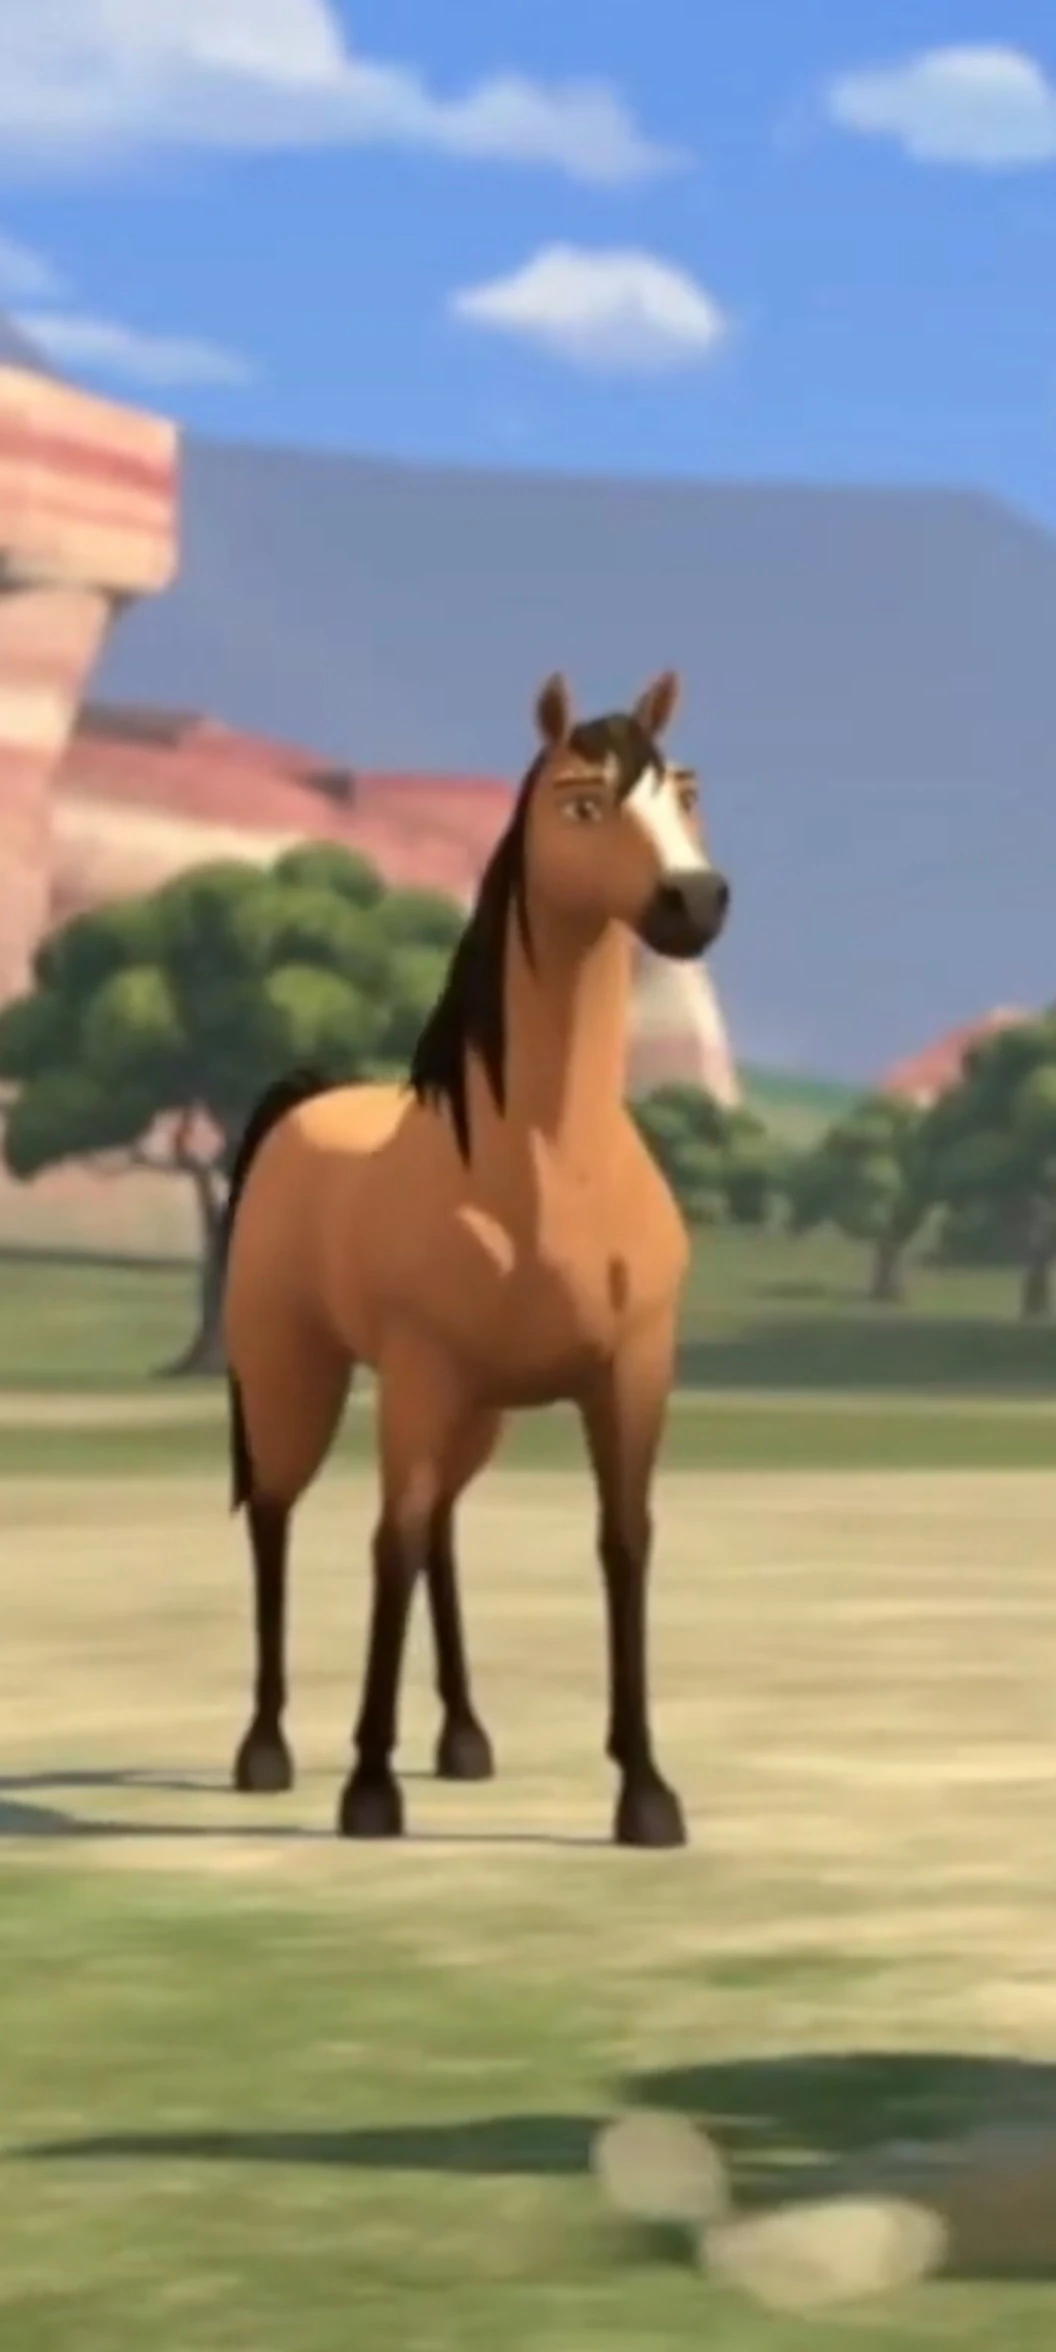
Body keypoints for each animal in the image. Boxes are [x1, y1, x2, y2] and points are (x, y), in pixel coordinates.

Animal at [222, 669, 730, 1848]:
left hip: (478, 1409)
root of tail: (305, 1102)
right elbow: (389, 1542)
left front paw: (646, 1792)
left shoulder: (632, 1374)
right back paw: (265, 1751)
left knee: (446, 1526)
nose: (696, 902)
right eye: (582, 803)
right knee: (278, 1517)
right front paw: (369, 1788)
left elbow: (622, 1544)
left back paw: (462, 1738)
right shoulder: (418, 1372)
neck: (550, 1159)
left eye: (686, 790)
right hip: (296, 1380)